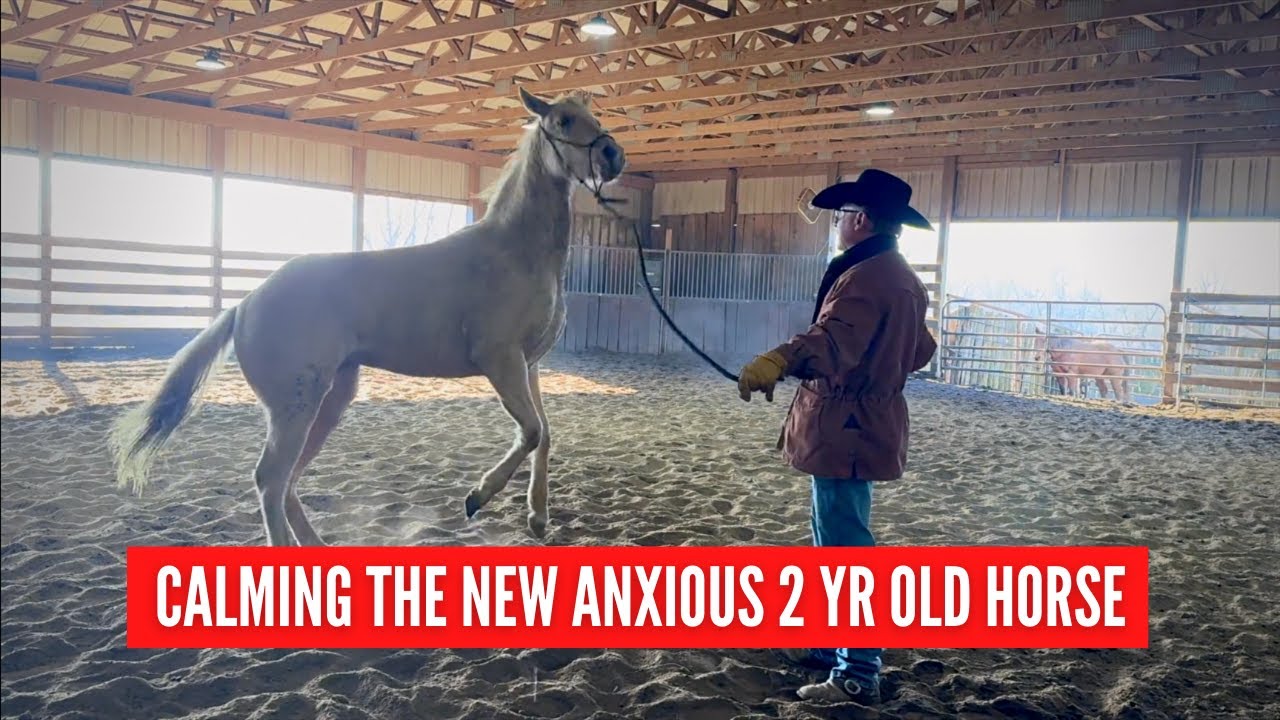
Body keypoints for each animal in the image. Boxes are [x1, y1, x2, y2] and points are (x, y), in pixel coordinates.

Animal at [109, 88, 626, 545]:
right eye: (562, 120)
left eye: (594, 115)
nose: (613, 155)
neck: (515, 253)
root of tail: (245, 304)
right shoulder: (499, 360)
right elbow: (532, 431)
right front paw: (477, 497)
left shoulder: (530, 364)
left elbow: (544, 435)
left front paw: (537, 519)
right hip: (296, 407)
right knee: (271, 480)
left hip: (329, 400)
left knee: (286, 482)